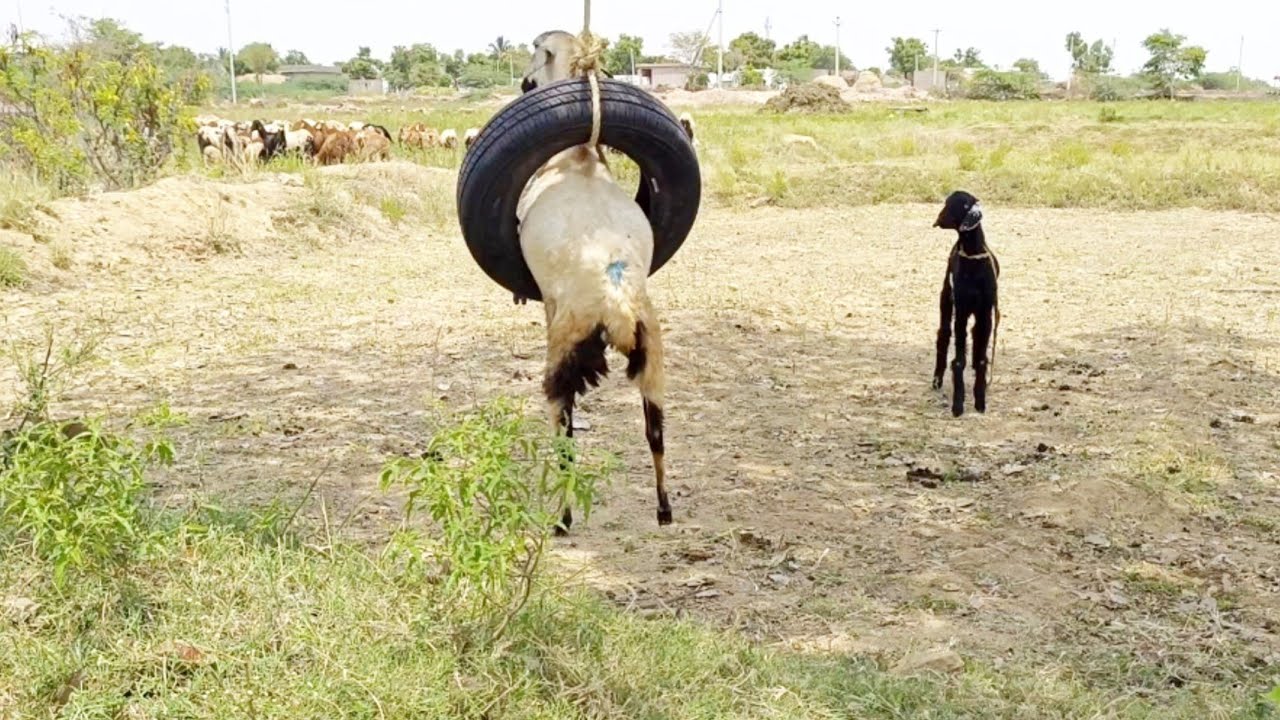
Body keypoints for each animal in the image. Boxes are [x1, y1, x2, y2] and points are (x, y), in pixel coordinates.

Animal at [517, 29, 672, 531]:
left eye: (536, 49)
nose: (525, 84)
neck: (579, 157)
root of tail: (615, 296)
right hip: (654, 357)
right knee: (656, 431)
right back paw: (664, 509)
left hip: (562, 358)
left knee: (565, 436)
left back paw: (562, 518)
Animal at [931, 190, 1000, 417]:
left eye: (950, 203)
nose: (937, 220)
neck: (972, 257)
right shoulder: (960, 312)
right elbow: (958, 360)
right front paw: (958, 404)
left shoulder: (985, 312)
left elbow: (982, 359)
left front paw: (980, 400)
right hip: (946, 301)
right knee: (943, 335)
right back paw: (937, 379)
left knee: (976, 337)